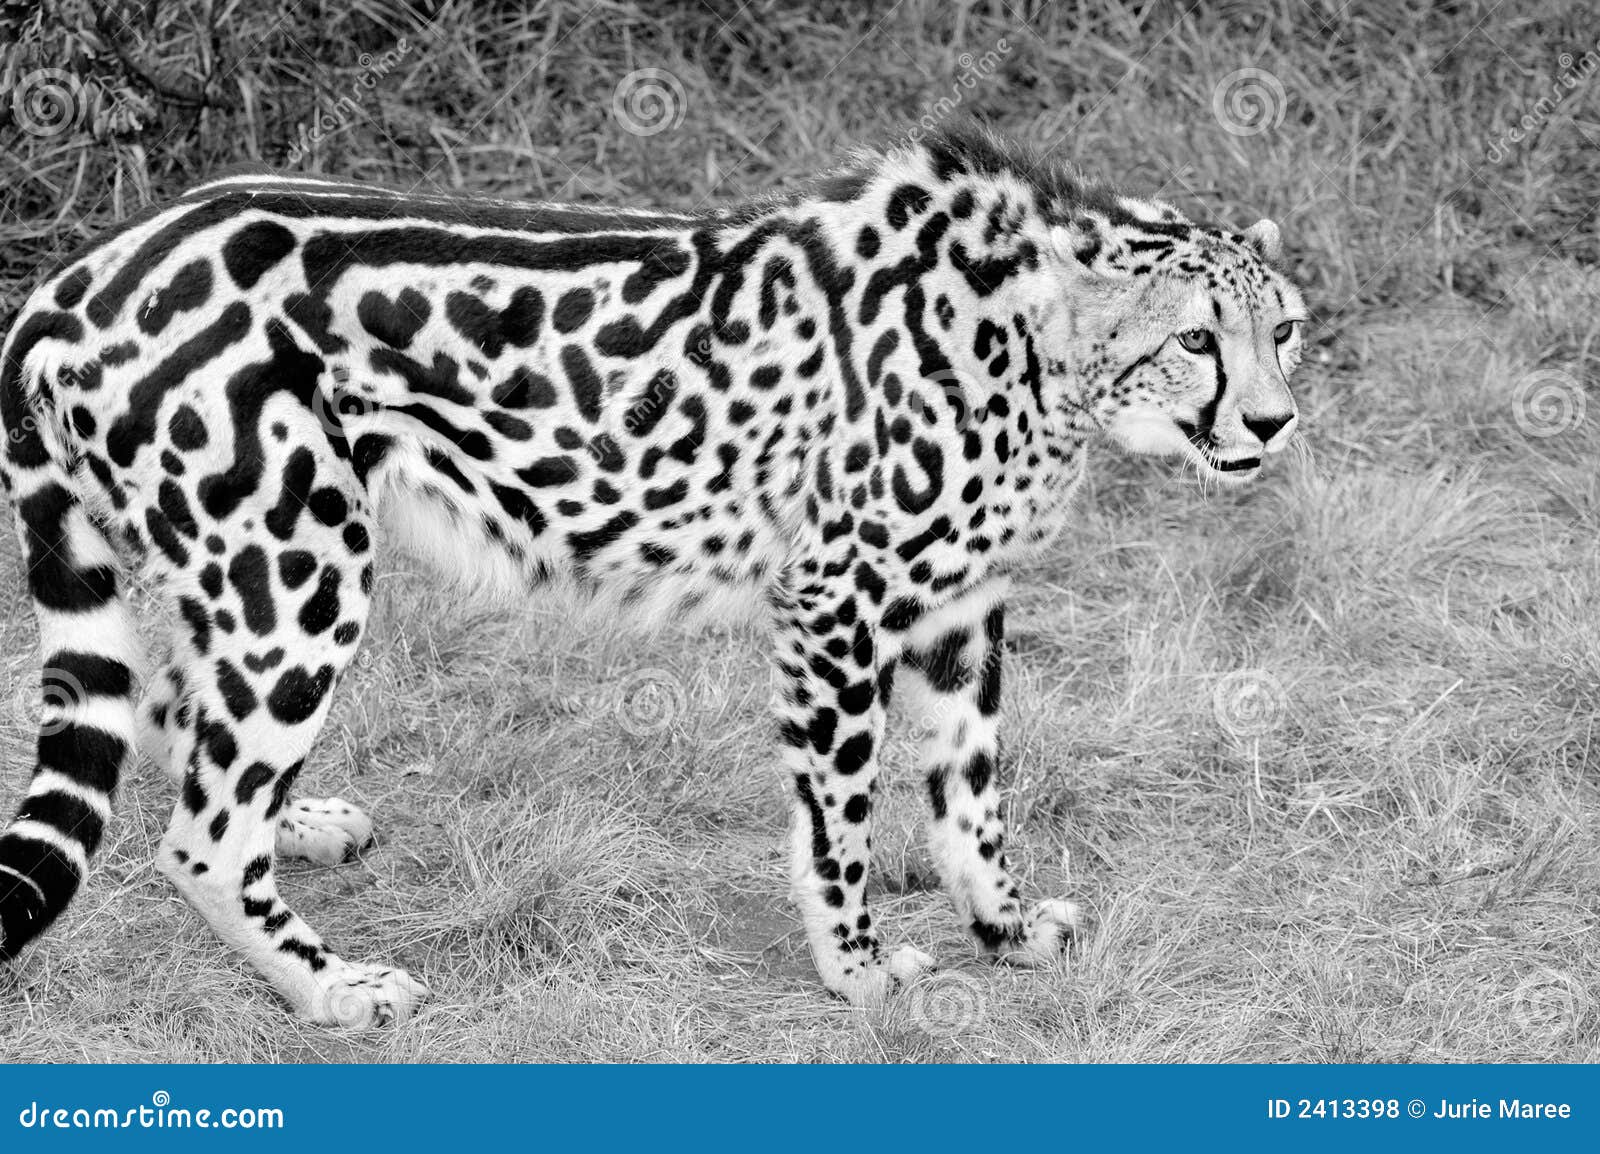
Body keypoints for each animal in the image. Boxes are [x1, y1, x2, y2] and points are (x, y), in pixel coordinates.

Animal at [0, 121, 1305, 1026]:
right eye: (1195, 338)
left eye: (1279, 328)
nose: (1274, 420)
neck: (1027, 333)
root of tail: (70, 279)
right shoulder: (834, 602)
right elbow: (839, 814)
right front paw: (858, 965)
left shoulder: (959, 604)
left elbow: (969, 795)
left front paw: (1006, 923)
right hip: (297, 568)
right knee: (204, 835)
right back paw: (332, 986)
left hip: (237, 572)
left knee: (188, 721)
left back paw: (305, 824)